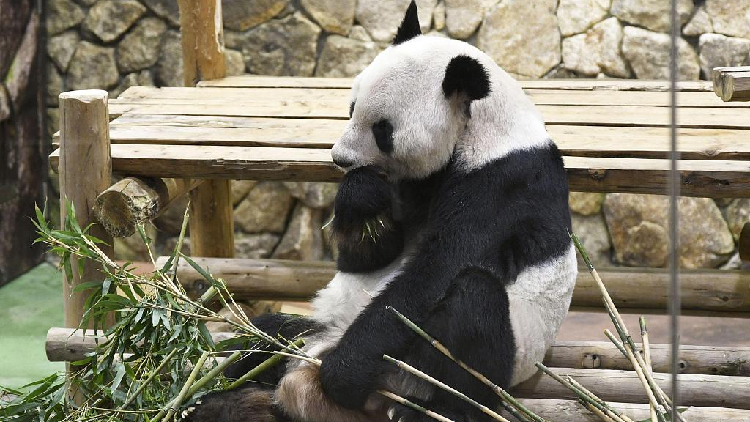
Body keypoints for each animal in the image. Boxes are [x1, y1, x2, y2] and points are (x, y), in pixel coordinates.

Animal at [185, 2, 577, 422]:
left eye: (383, 130)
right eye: (352, 106)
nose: (340, 159)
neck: (484, 129)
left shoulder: (502, 186)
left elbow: (434, 273)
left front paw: (344, 373)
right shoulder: (415, 186)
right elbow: (374, 252)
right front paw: (361, 192)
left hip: (482, 357)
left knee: (473, 307)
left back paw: (430, 406)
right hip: (320, 327)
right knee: (266, 336)